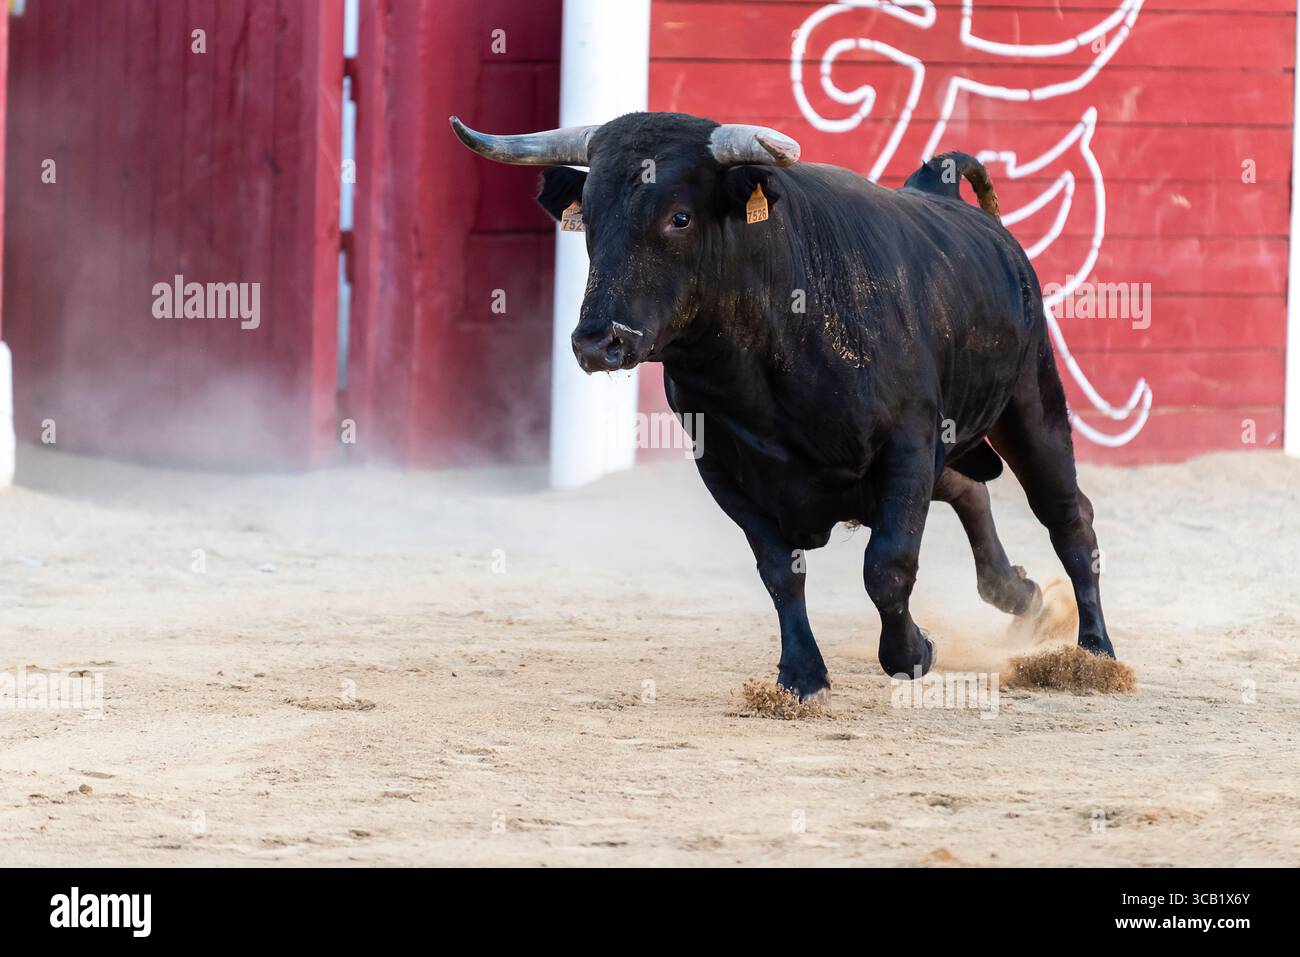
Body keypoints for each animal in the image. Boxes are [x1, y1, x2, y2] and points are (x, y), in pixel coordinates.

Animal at [451, 111, 1116, 702]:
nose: (597, 342)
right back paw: (1020, 596)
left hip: (1032, 401)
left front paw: (913, 653)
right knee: (969, 489)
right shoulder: (724, 470)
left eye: (680, 217)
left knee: (1067, 514)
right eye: (588, 219)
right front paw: (802, 676)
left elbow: (887, 565)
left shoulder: (907, 442)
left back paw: (1095, 652)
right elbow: (779, 571)